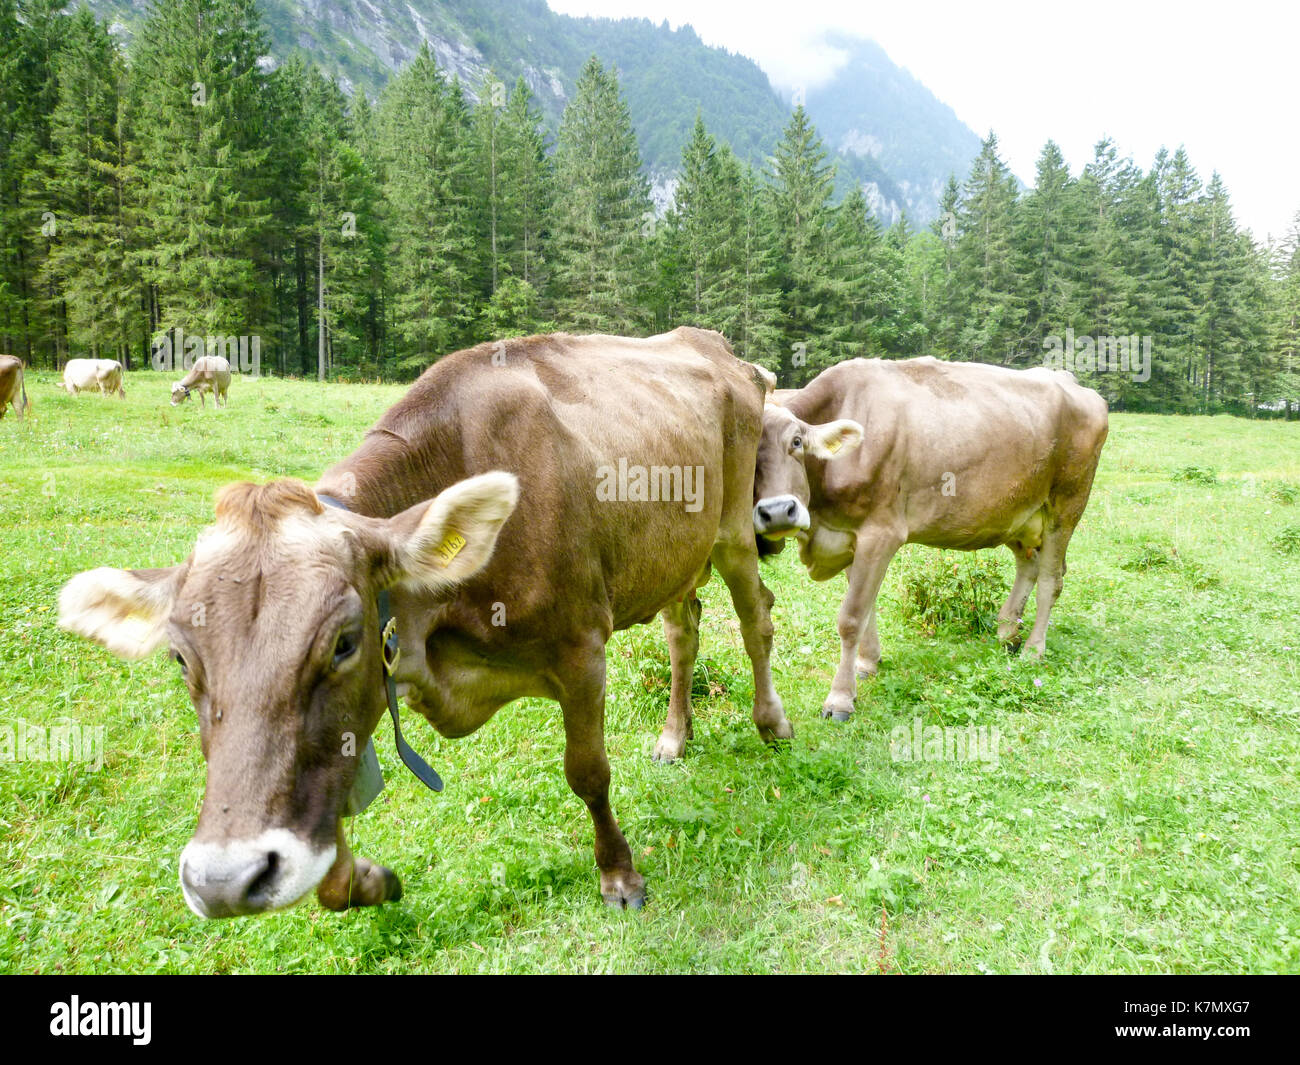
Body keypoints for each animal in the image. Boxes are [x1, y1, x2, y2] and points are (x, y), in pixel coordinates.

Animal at [57, 328, 791, 918]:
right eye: (180, 656)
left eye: (343, 642)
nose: (225, 881)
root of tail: (719, 347)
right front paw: (368, 881)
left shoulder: (581, 648)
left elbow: (588, 770)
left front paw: (619, 876)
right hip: (671, 556)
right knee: (684, 631)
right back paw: (674, 735)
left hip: (733, 530)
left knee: (755, 620)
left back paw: (772, 722)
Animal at [752, 356, 1109, 721]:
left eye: (796, 442)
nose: (779, 511)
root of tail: (1067, 379)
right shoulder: (848, 533)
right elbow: (867, 608)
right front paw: (867, 663)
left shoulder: (881, 532)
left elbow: (852, 617)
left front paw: (839, 699)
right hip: (1017, 511)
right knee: (1029, 565)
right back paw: (1008, 632)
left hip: (1066, 506)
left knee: (1051, 581)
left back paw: (1033, 650)